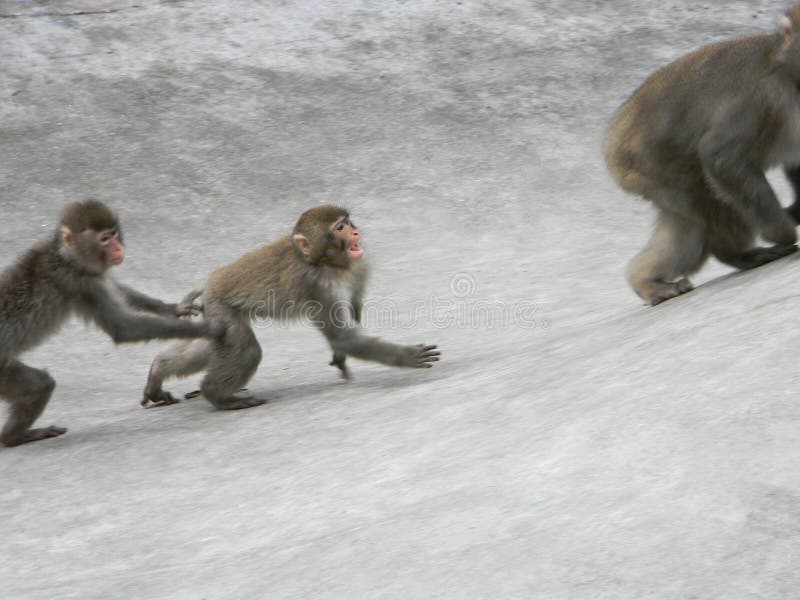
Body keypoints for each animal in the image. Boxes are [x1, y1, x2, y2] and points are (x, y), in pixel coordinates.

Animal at [0, 200, 222, 447]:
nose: (118, 248)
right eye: (104, 239)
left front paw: (175, 308)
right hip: (1, 371)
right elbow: (123, 327)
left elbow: (118, 291)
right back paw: (14, 437)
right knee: (40, 386)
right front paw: (208, 329)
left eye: (114, 234)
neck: (67, 258)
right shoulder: (83, 284)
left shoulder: (93, 276)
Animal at [142, 205, 440, 410]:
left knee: (210, 345)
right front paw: (406, 356)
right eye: (339, 229)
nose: (356, 232)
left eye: (347, 223)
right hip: (221, 307)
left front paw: (341, 356)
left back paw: (159, 369)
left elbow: (352, 315)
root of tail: (210, 281)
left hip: (213, 311)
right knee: (247, 351)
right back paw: (216, 395)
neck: (325, 263)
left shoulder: (358, 266)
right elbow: (342, 336)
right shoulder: (316, 285)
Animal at [604, 4, 800, 306]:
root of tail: (614, 131)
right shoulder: (765, 95)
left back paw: (647, 278)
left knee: (688, 222)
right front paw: (783, 232)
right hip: (647, 165)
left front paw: (797, 211)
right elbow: (721, 155)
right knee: (710, 203)